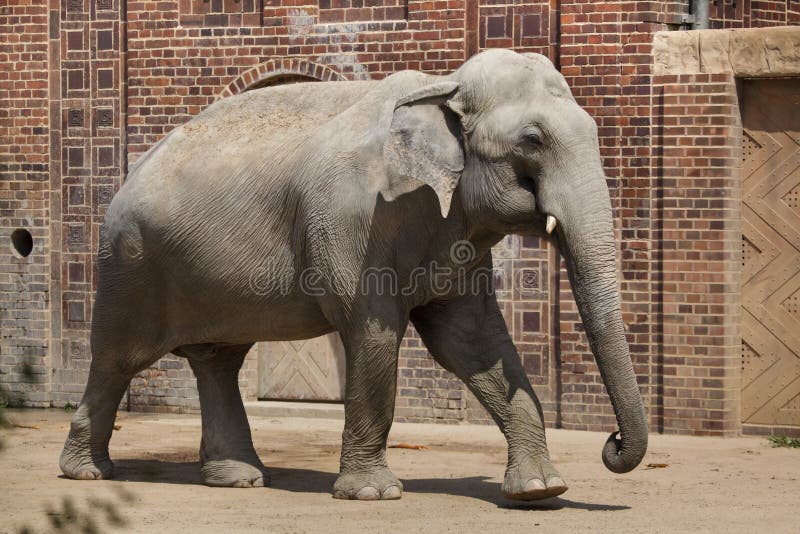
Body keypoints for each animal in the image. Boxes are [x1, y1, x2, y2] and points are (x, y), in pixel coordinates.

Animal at [60, 49, 648, 501]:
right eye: (532, 140)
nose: (613, 443)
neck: (443, 86)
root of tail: (132, 171)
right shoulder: (353, 222)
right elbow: (374, 334)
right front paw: (373, 493)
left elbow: (471, 342)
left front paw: (541, 490)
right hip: (130, 264)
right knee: (117, 358)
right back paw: (86, 473)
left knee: (218, 361)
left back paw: (238, 478)